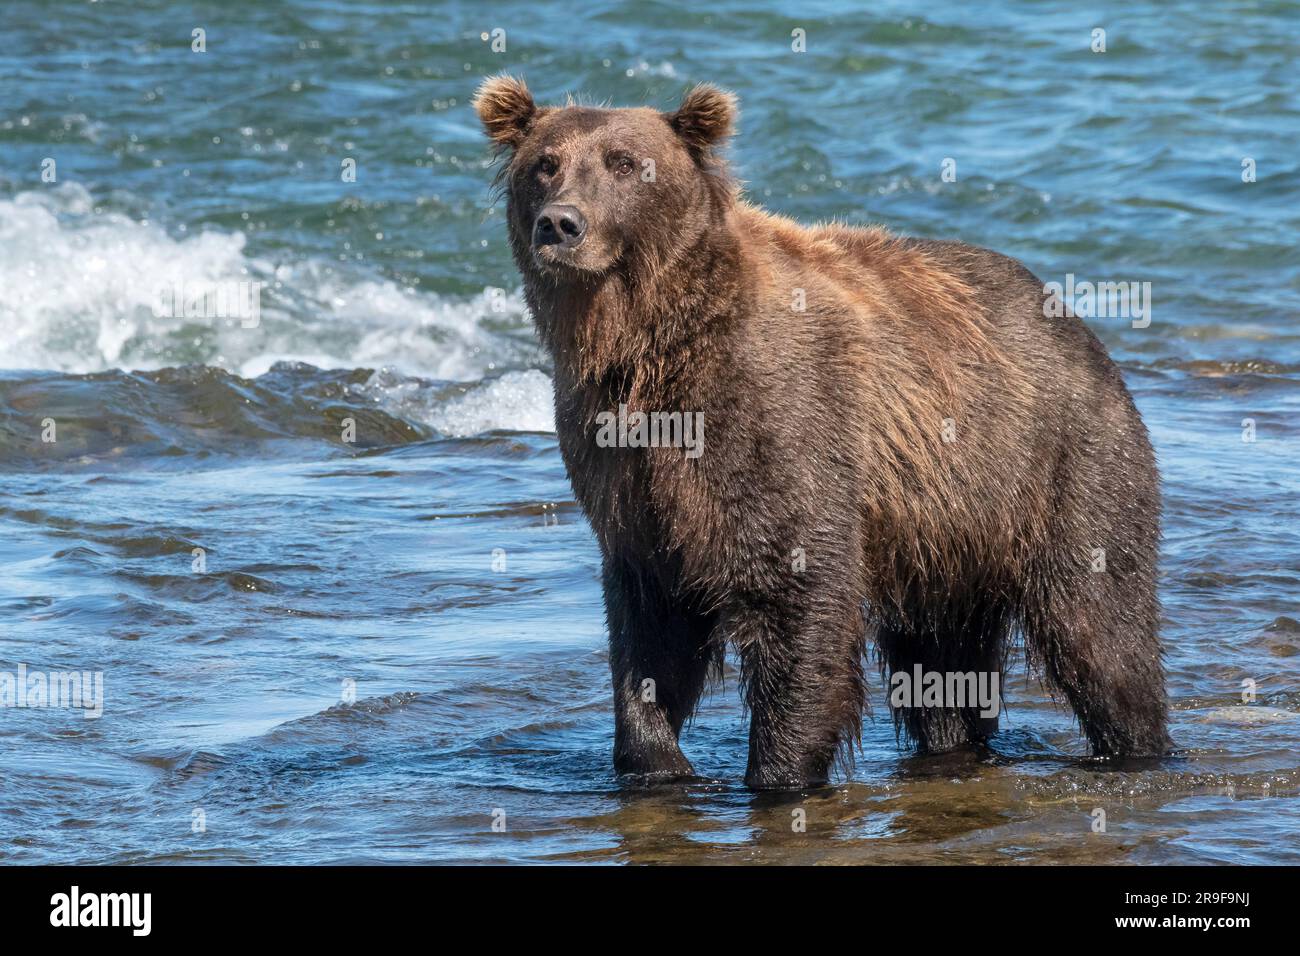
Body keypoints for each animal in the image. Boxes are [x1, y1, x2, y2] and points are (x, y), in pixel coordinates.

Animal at [474, 75, 1170, 790]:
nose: (560, 223)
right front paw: (657, 760)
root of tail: (1069, 316)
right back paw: (953, 747)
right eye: (545, 163)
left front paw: (778, 771)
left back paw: (1135, 739)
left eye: (622, 163)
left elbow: (796, 591)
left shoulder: (778, 421)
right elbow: (650, 626)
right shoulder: (626, 474)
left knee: (1098, 627)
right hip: (945, 533)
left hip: (1059, 464)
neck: (646, 343)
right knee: (941, 663)